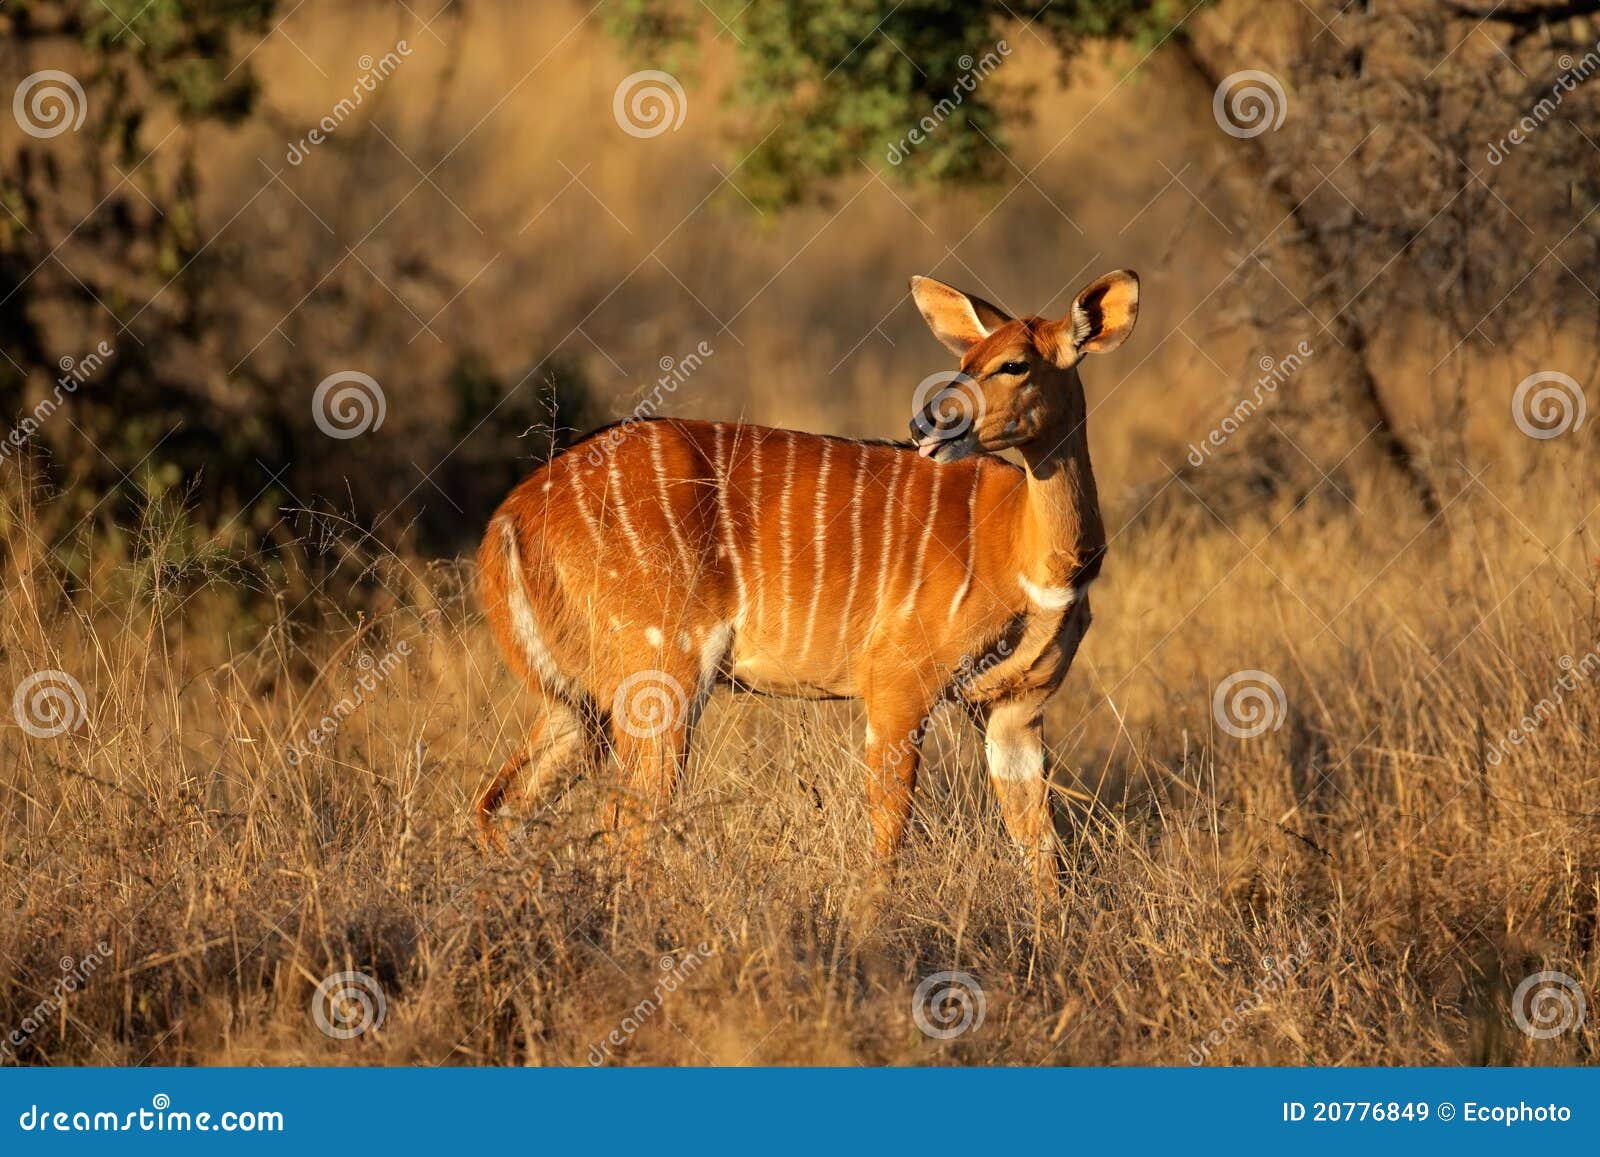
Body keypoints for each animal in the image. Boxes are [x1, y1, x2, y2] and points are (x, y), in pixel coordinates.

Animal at [476, 269, 1138, 880]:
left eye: (1014, 364)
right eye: (964, 361)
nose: (926, 425)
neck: (1028, 555)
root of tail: (511, 517)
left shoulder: (1016, 709)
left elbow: (1040, 851)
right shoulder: (897, 685)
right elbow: (887, 841)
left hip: (577, 700)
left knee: (500, 804)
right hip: (660, 675)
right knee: (629, 819)